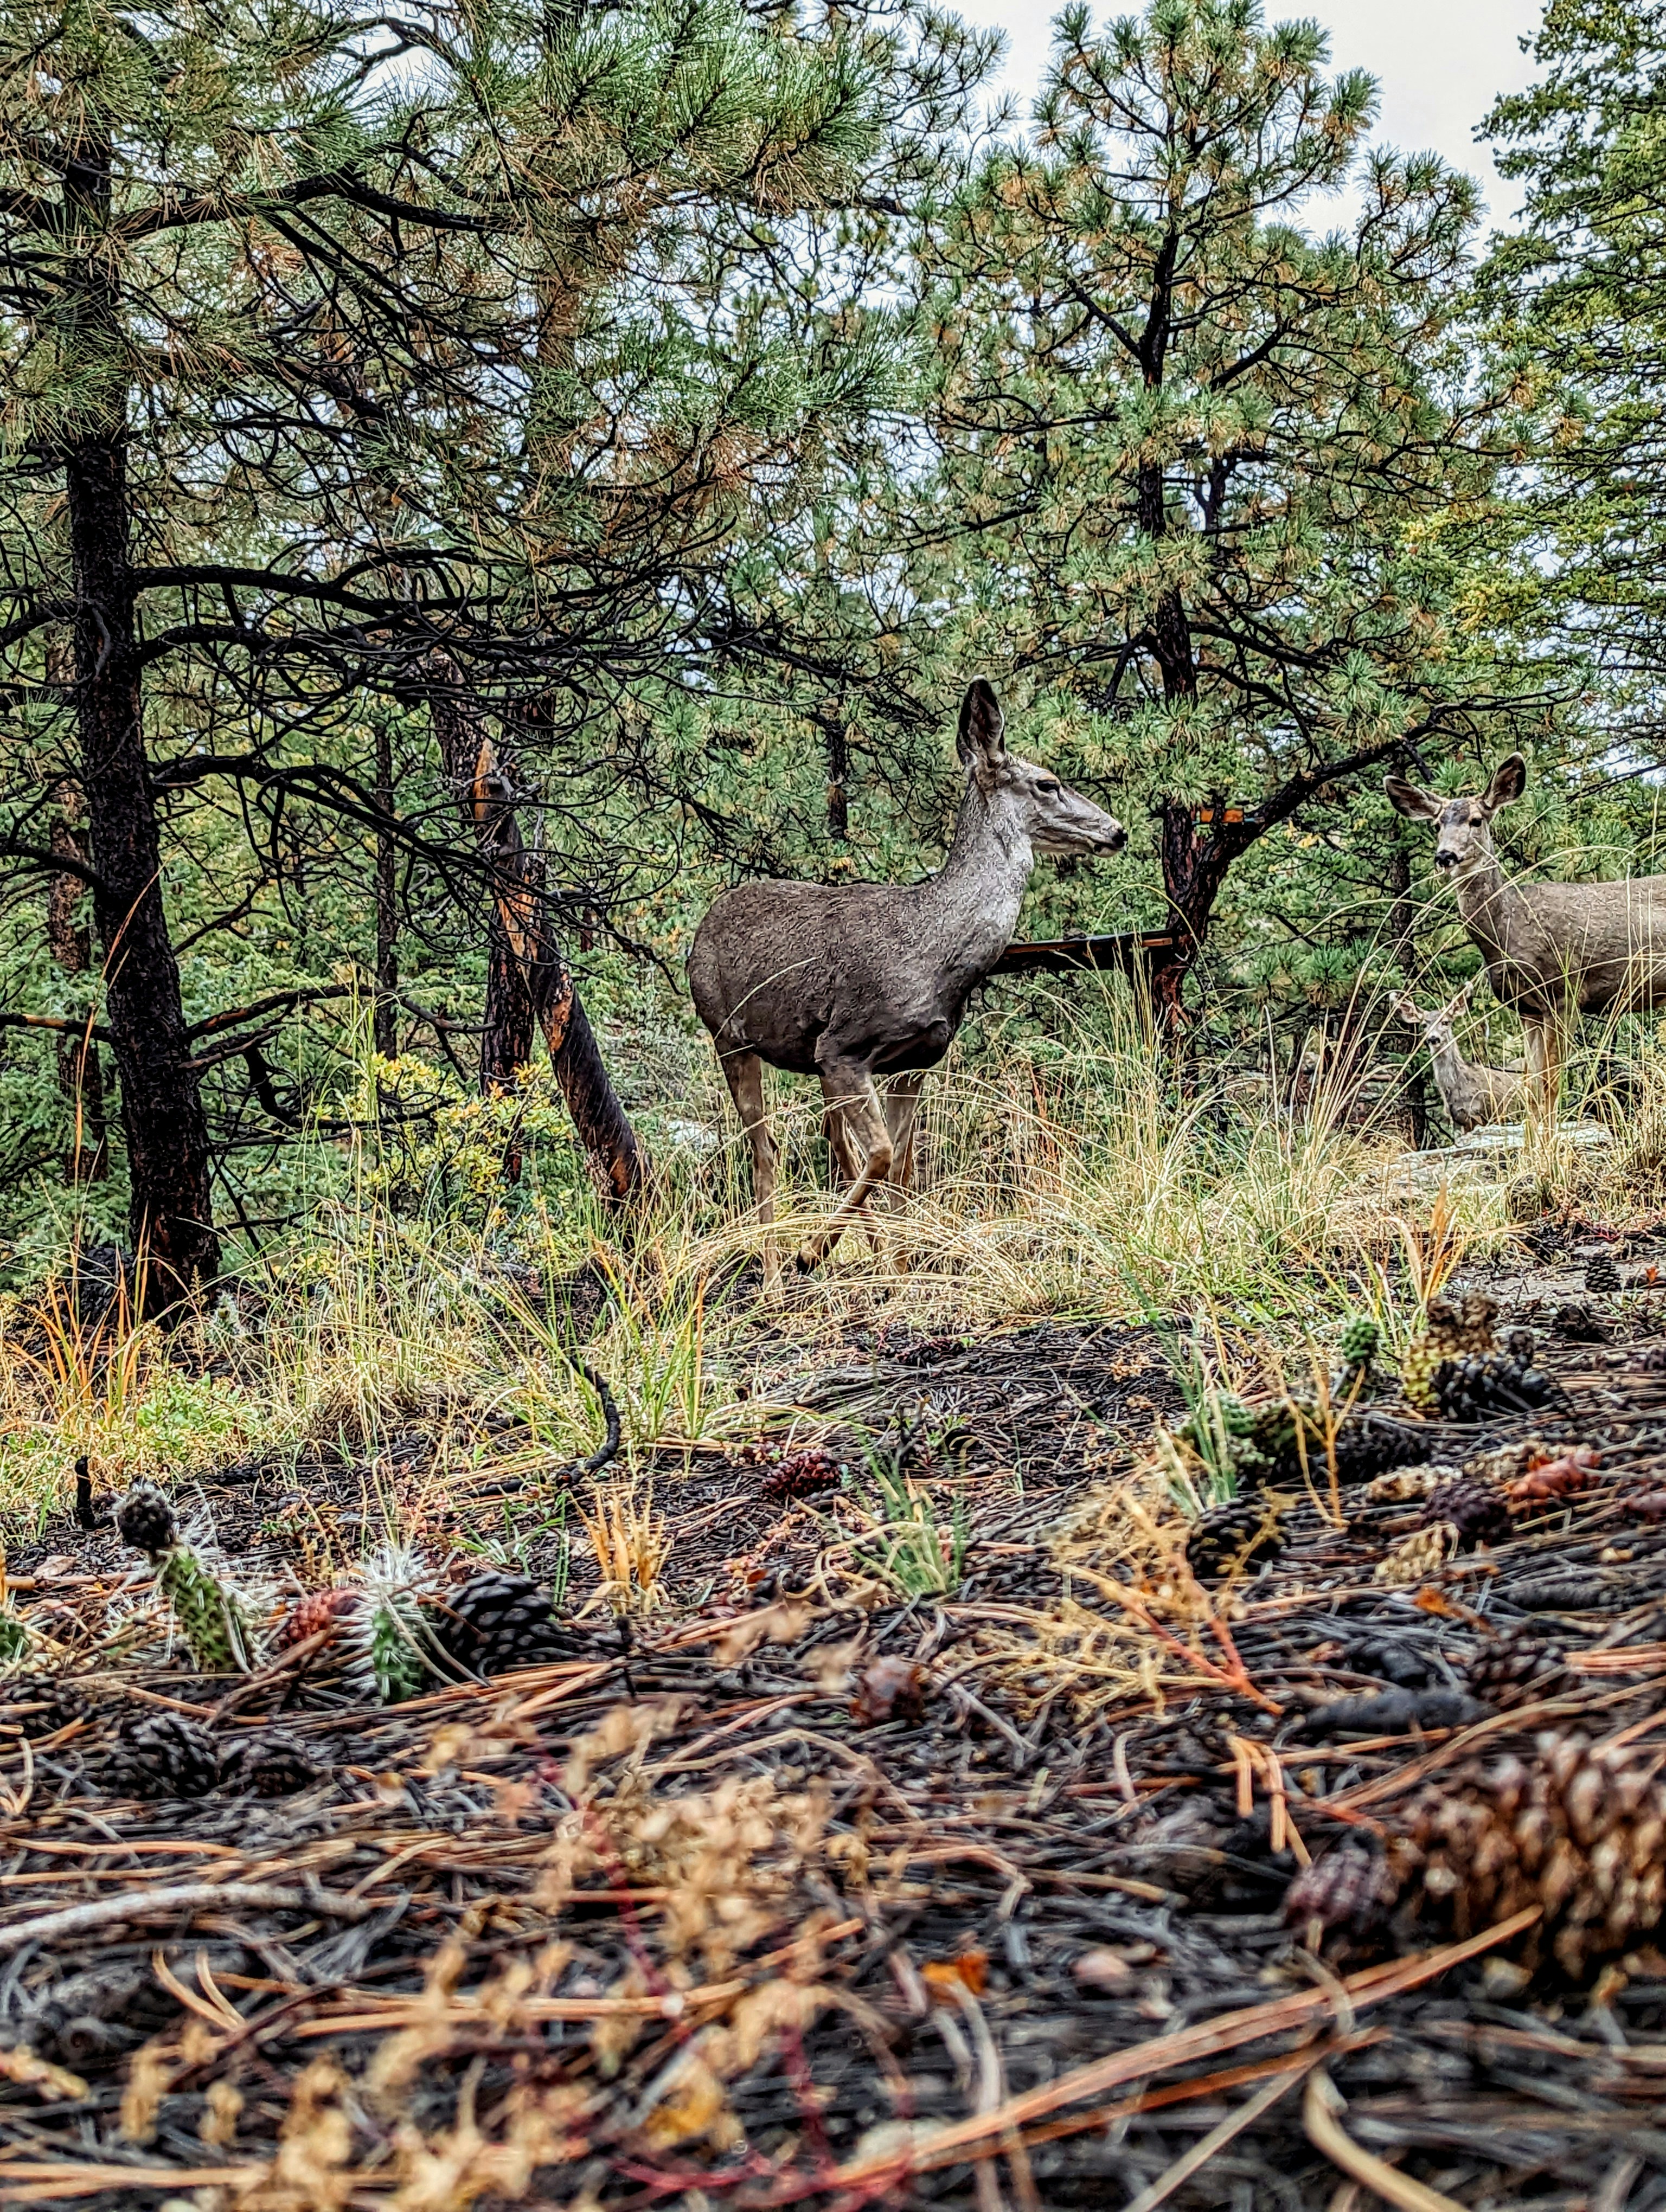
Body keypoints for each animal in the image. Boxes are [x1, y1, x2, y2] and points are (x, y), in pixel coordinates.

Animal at [689, 679, 1126, 1284]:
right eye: (1047, 783)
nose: (1118, 831)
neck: (935, 953)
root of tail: (702, 927)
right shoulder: (843, 1045)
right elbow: (881, 1156)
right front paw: (814, 1252)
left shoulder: (914, 1061)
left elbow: (900, 1169)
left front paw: (897, 1276)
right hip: (729, 1035)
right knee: (765, 1149)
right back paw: (777, 1277)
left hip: (802, 1060)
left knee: (831, 1142)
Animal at [1385, 754, 1666, 1113]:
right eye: (1436, 825)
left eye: (1476, 820)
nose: (1445, 856)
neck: (1509, 933)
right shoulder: (1525, 1007)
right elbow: (1532, 1087)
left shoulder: (1565, 993)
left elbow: (1551, 1085)